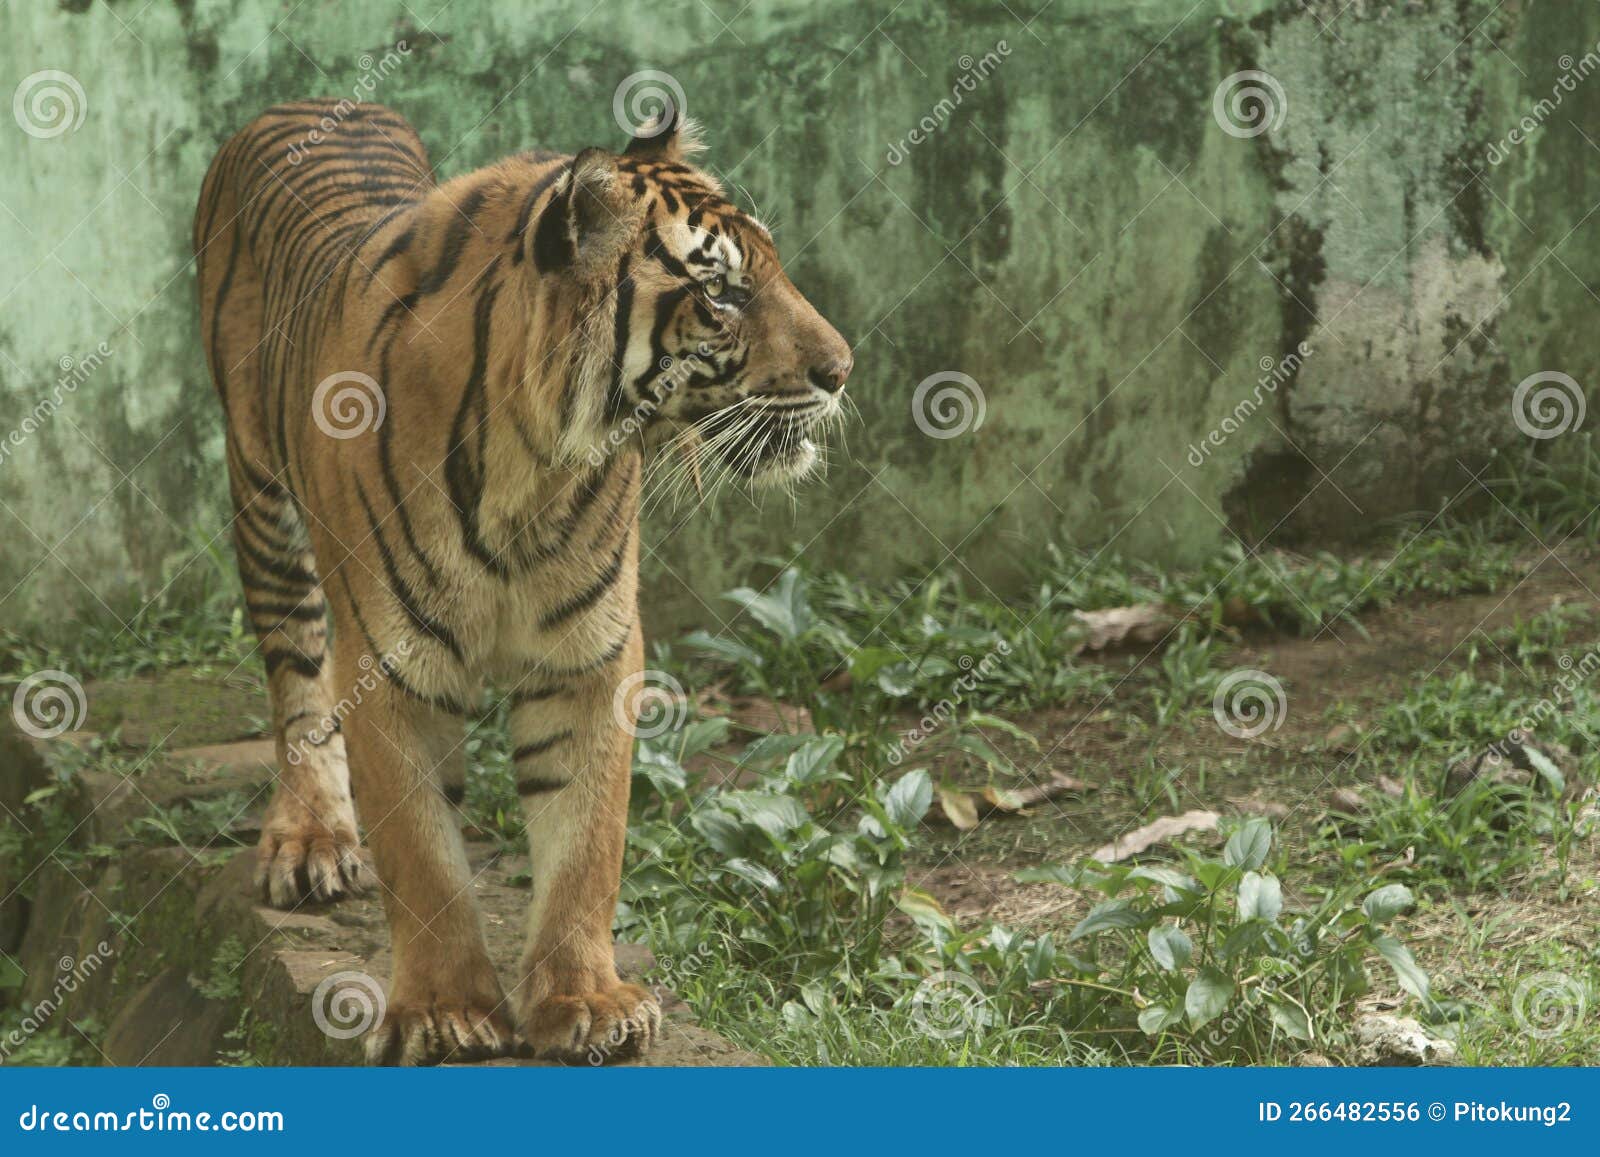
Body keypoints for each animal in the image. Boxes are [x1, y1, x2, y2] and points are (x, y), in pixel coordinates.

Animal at [193, 97, 852, 1065]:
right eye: (723, 292)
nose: (843, 370)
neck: (534, 469)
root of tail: (309, 102)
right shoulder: (388, 665)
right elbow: (423, 858)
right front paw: (445, 1010)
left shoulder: (592, 657)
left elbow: (586, 846)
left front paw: (588, 1001)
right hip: (261, 501)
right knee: (297, 677)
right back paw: (310, 837)